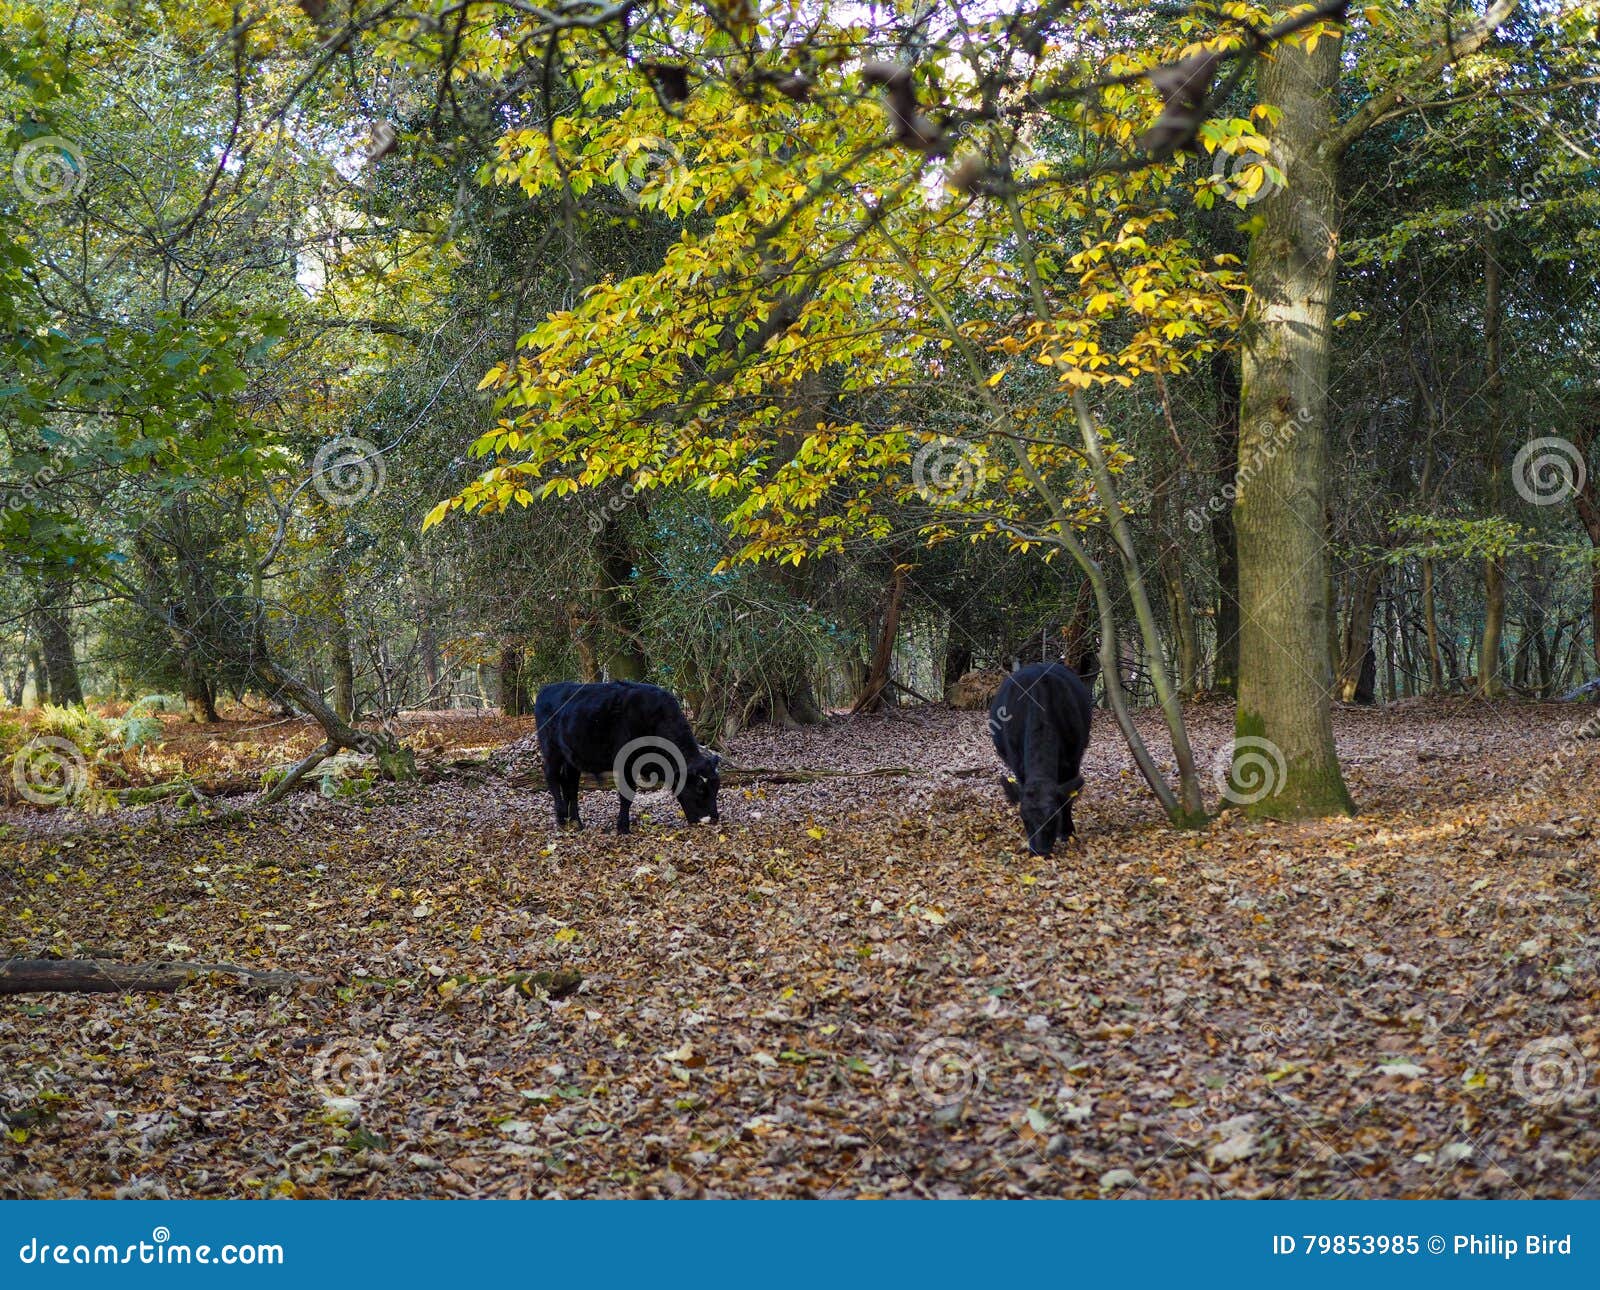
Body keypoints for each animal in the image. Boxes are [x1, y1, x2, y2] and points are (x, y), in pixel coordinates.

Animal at [534, 680, 721, 834]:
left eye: (716, 788)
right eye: (699, 788)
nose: (713, 819)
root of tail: (546, 689)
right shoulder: (626, 763)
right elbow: (627, 795)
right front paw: (623, 827)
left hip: (572, 758)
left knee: (570, 785)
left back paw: (576, 822)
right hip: (551, 751)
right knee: (552, 777)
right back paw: (560, 818)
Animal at [989, 653, 1097, 856]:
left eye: (1054, 817)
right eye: (1024, 817)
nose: (1040, 850)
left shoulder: (1072, 761)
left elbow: (1067, 798)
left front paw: (1068, 832)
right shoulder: (1018, 764)